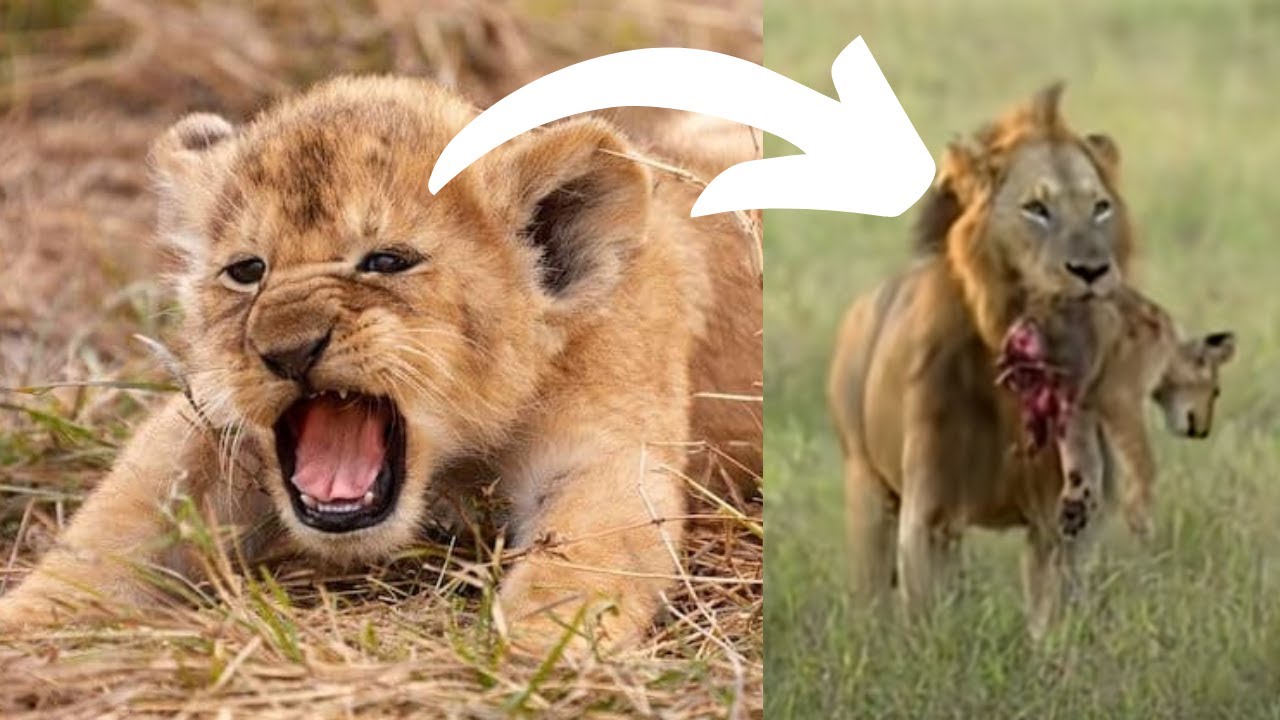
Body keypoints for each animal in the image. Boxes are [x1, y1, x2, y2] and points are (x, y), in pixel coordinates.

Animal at [0, 76, 763, 653]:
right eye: (246, 271)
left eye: (387, 261)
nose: (288, 348)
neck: (450, 462)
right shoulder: (210, 424)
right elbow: (113, 526)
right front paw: (27, 625)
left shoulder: (607, 453)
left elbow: (582, 556)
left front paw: (536, 649)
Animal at [826, 83, 1134, 638]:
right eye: (1036, 208)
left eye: (1100, 207)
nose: (1092, 270)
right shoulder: (931, 512)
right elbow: (931, 624)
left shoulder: (1063, 520)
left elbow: (1055, 619)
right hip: (865, 485)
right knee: (869, 598)